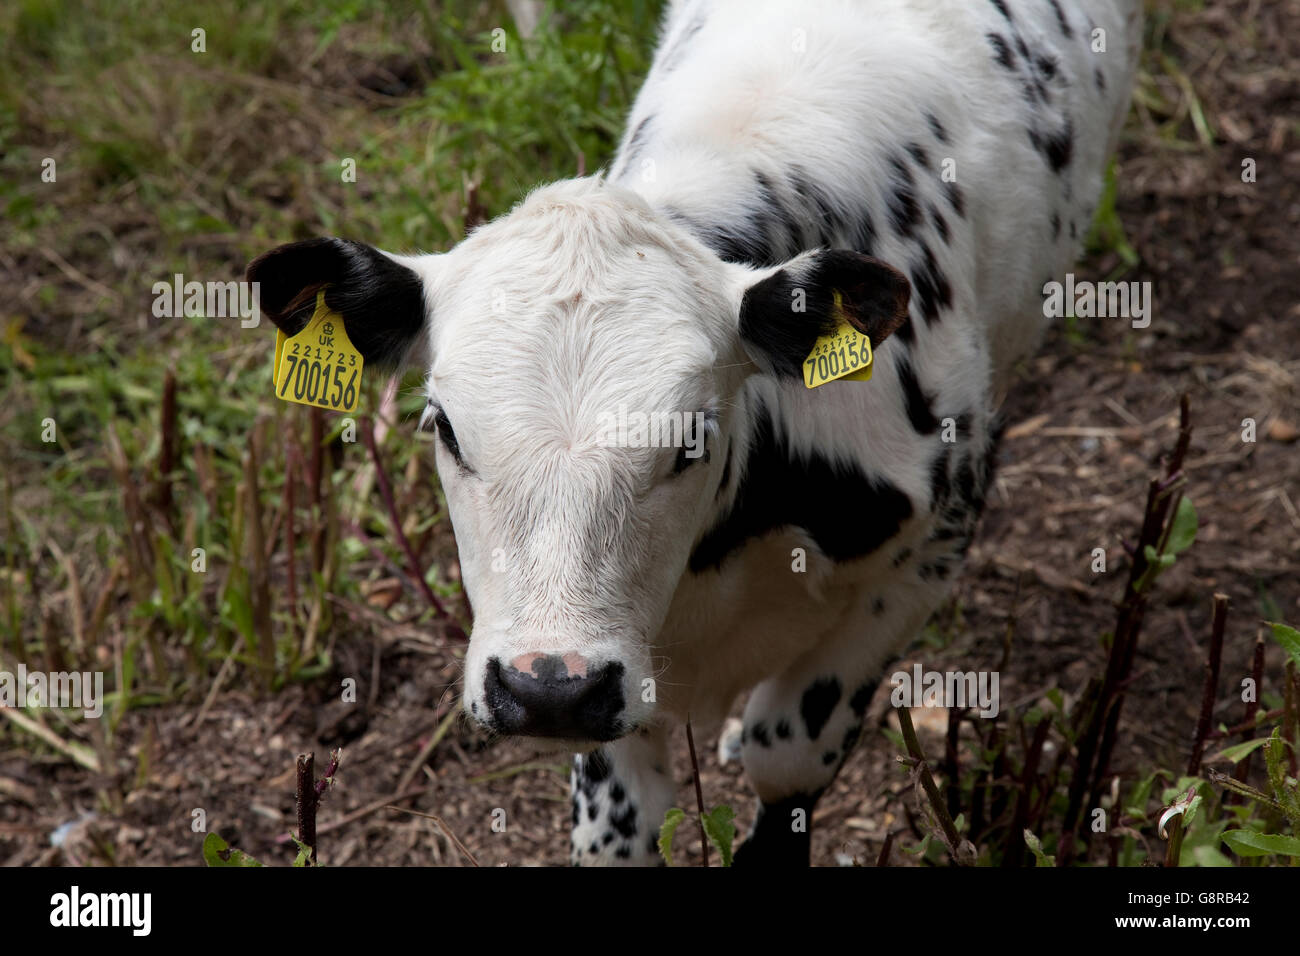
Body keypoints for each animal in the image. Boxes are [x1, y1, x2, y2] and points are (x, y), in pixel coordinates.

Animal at [247, 0, 1143, 865]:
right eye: (447, 431)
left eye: (691, 440)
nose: (547, 689)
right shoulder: (619, 672)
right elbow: (620, 820)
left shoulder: (929, 549)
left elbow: (790, 754)